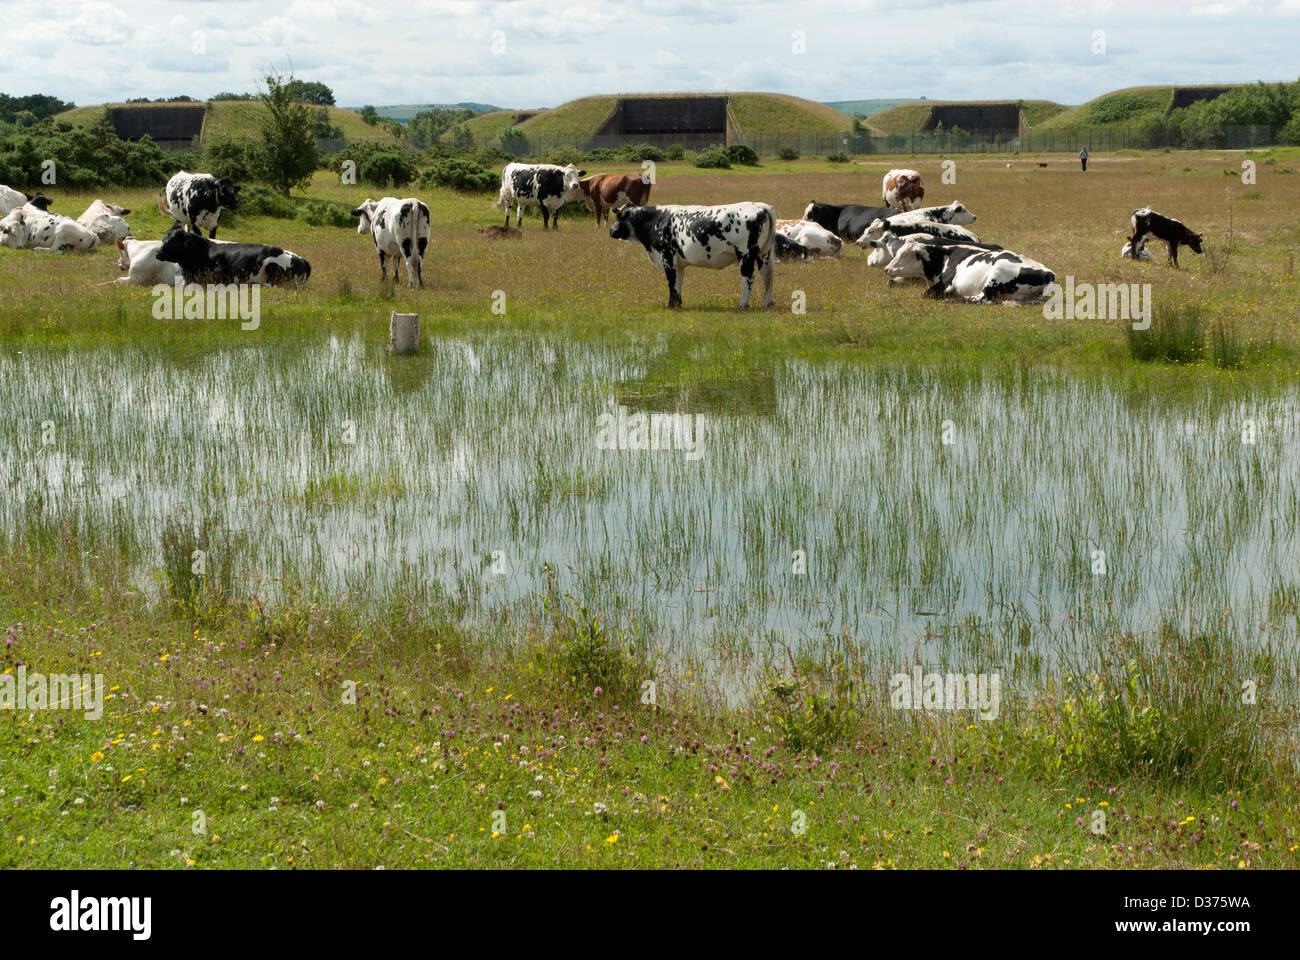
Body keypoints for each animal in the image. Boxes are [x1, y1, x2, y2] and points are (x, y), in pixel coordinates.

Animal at [609, 202, 775, 309]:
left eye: (619, 218)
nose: (611, 231)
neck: (657, 220)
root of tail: (759, 206)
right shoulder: (679, 263)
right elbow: (678, 282)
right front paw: (678, 304)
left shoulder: (667, 257)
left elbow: (671, 281)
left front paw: (670, 306)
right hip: (764, 254)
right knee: (767, 277)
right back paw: (767, 304)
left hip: (745, 255)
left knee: (749, 277)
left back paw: (743, 304)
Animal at [883, 240, 1055, 303]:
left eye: (904, 254)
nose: (887, 269)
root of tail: (1049, 273)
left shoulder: (945, 284)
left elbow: (926, 294)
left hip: (996, 274)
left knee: (983, 298)